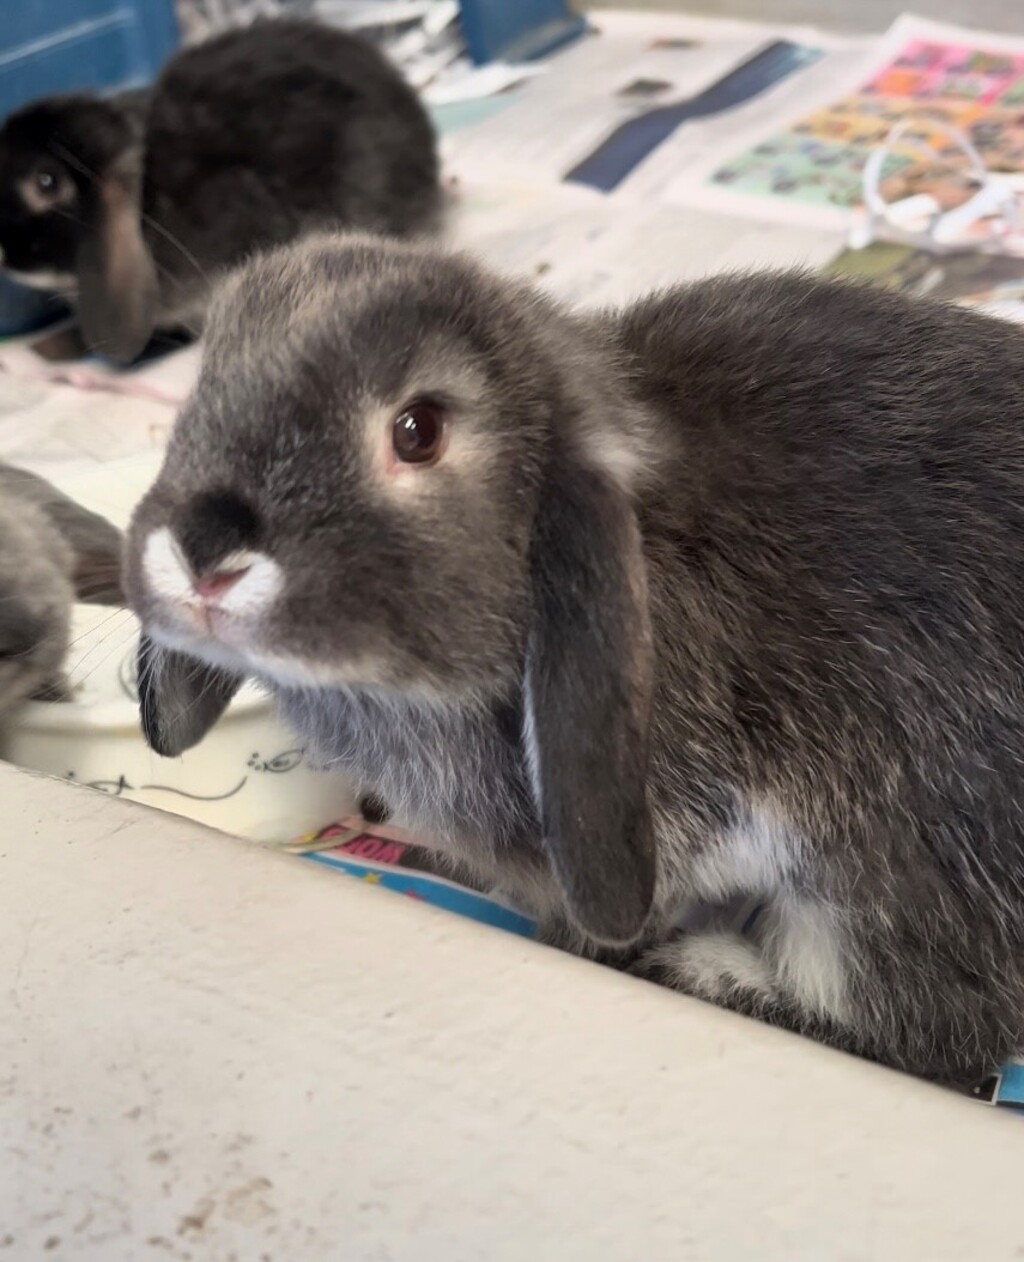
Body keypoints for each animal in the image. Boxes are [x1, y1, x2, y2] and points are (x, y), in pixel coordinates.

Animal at [124, 232, 1024, 1084]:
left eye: (418, 430)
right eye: (207, 381)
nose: (202, 553)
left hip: (876, 880)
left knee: (930, 1034)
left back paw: (705, 972)